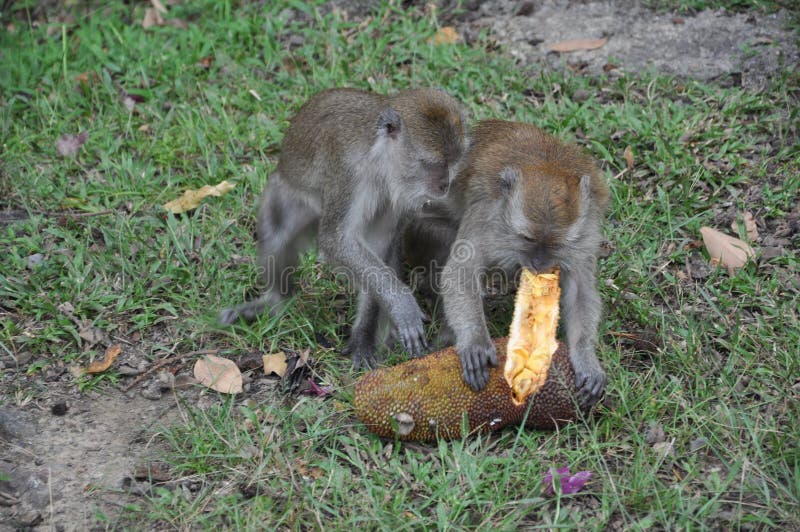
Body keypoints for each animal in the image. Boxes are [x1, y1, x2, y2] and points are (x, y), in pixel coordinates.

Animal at [219, 87, 469, 370]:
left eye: (453, 163)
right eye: (432, 164)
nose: (444, 186)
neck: (376, 157)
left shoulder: (392, 195)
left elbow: (376, 244)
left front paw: (363, 336)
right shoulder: (349, 174)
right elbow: (336, 240)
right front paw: (402, 303)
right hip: (287, 191)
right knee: (277, 232)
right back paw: (273, 301)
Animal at [405, 120, 609, 409]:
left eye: (556, 244)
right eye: (527, 238)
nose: (539, 262)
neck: (547, 163)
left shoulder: (586, 232)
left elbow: (581, 290)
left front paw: (586, 359)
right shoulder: (485, 214)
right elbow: (461, 272)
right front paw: (475, 341)